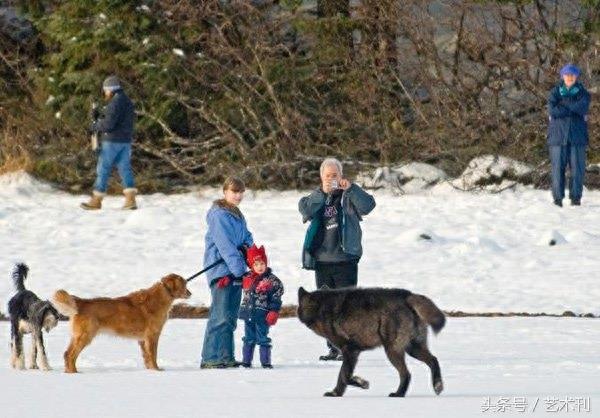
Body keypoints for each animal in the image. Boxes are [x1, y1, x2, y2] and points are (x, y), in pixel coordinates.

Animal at [298, 288, 442, 398]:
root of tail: (408, 296)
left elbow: (344, 376)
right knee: (433, 360)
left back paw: (398, 394)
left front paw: (345, 389)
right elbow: (345, 375)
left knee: (406, 373)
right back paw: (437, 385)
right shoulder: (353, 352)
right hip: (413, 349)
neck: (321, 308)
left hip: (392, 351)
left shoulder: (349, 350)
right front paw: (346, 388)